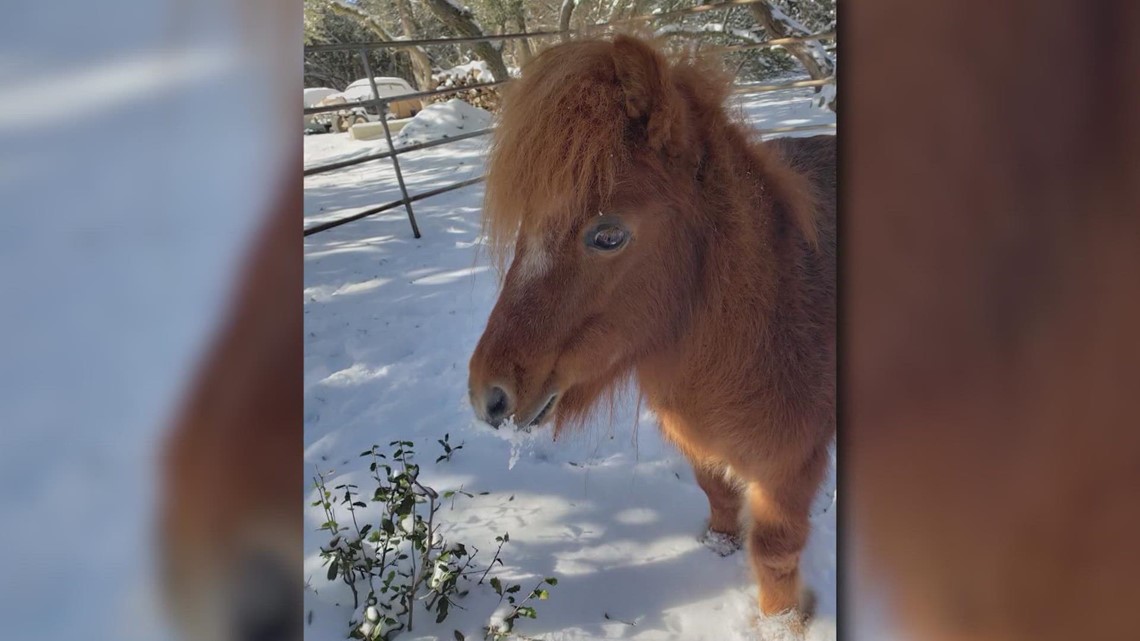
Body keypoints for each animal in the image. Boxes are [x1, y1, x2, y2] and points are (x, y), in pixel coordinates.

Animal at [467, 34, 836, 627]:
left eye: (608, 235)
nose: (488, 396)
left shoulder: (789, 465)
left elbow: (774, 551)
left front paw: (781, 624)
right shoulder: (699, 442)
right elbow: (717, 495)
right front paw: (718, 547)